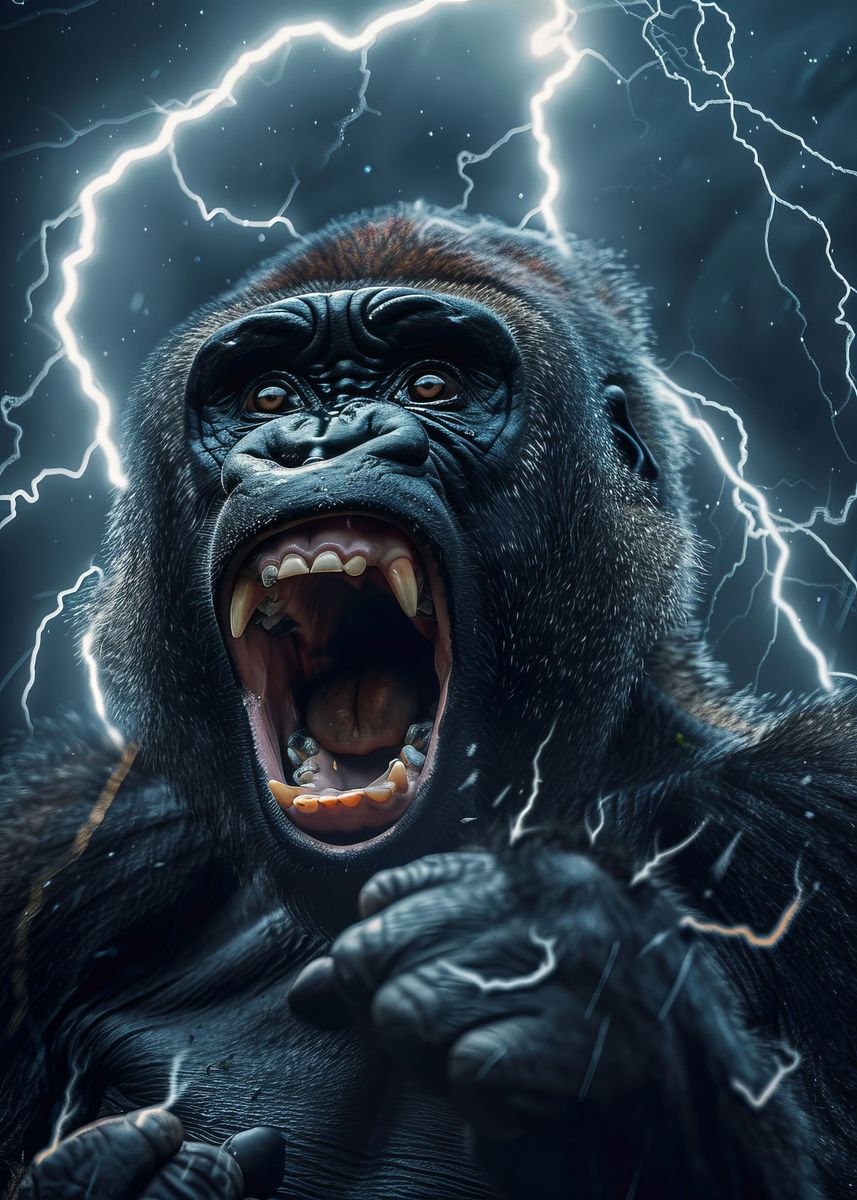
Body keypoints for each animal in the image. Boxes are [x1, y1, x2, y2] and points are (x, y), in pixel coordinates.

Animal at [1, 205, 854, 1199]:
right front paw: (109, 1176)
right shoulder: (65, 837)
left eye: (432, 383)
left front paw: (592, 991)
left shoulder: (808, 809)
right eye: (267, 400)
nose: (317, 445)